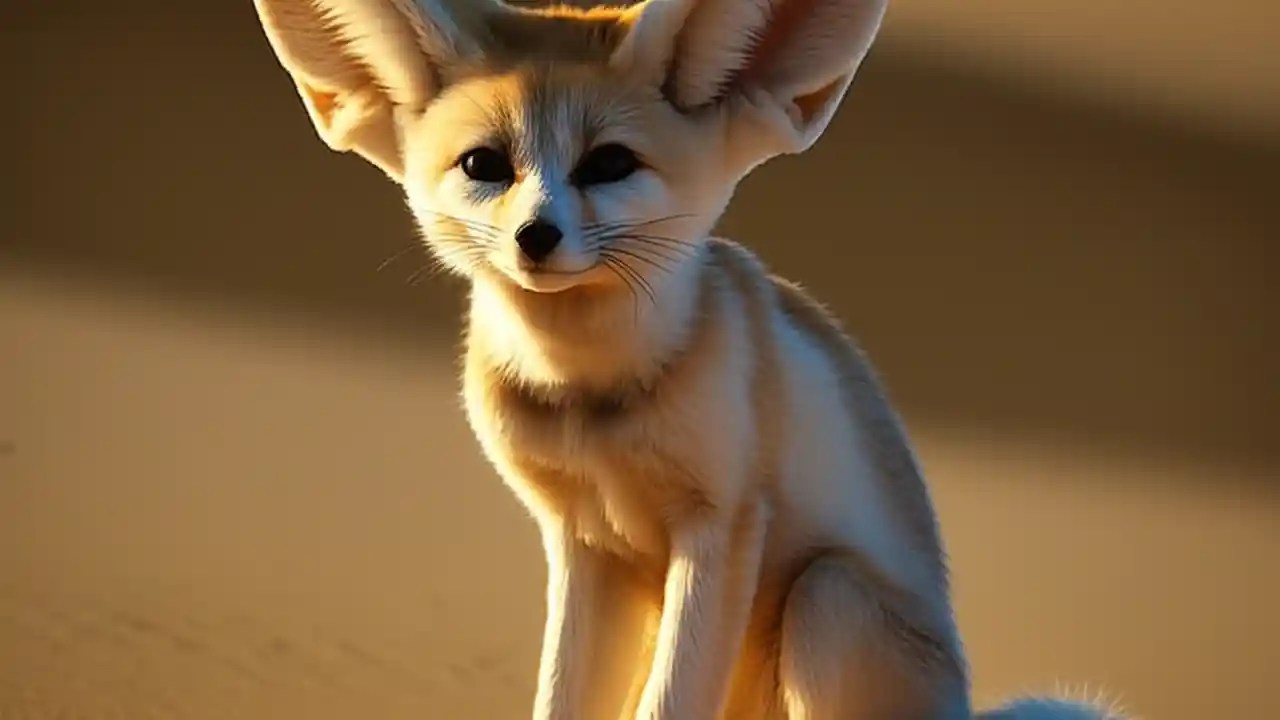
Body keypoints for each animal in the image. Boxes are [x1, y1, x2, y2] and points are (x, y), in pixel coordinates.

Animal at [249, 0, 1129, 718]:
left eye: (609, 164)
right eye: (484, 165)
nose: (536, 236)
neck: (592, 404)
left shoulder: (723, 523)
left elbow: (672, 699)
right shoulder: (583, 543)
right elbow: (563, 697)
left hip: (828, 598)